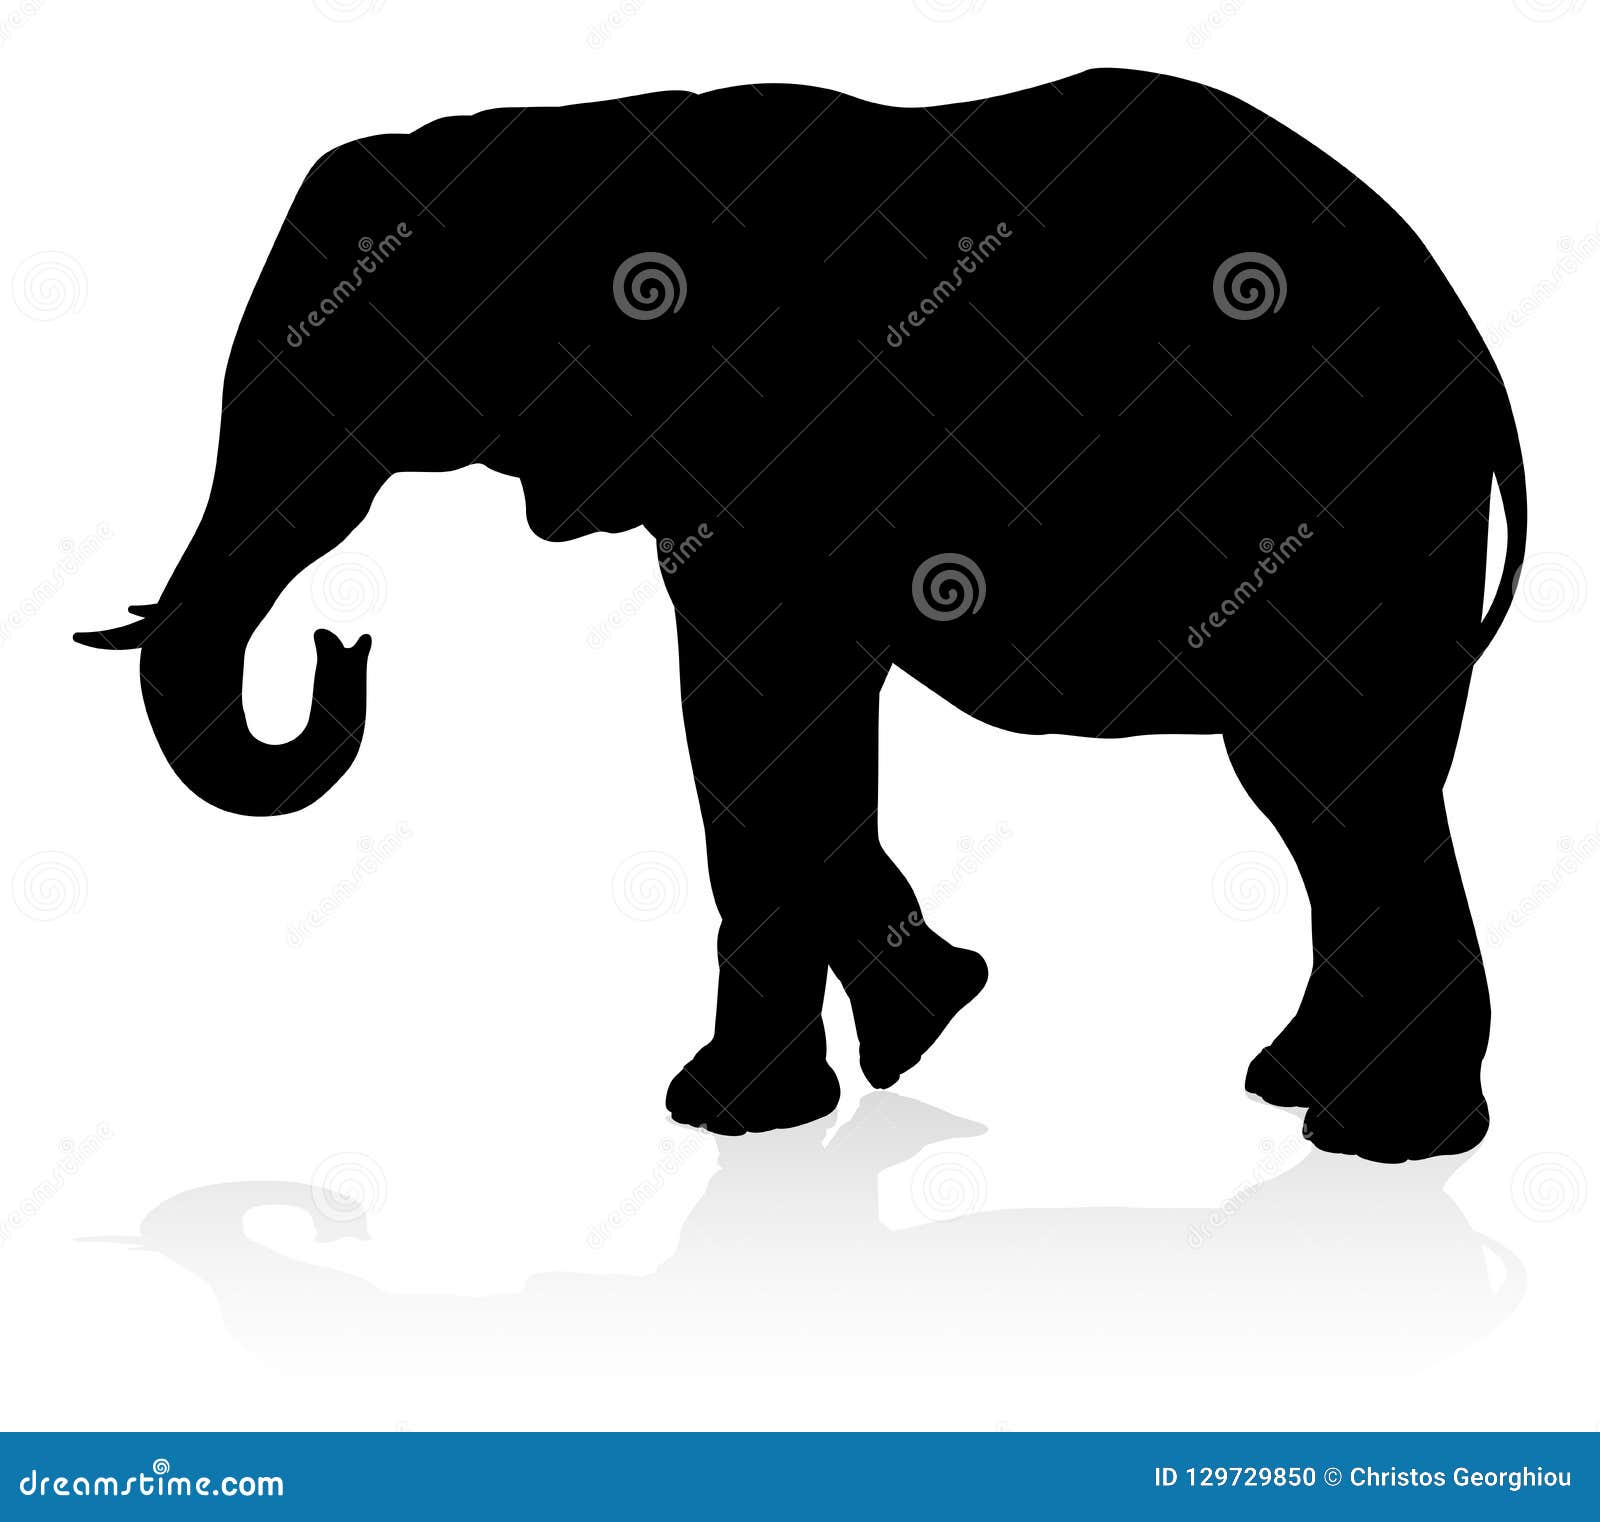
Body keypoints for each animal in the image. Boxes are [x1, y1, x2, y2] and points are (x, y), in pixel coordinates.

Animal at [78, 70, 1525, 1163]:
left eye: (352, 347)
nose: (343, 650)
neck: (571, 143)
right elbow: (790, 735)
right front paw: (920, 1020)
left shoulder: (773, 449)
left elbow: (754, 712)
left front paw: (747, 1107)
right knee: (1336, 802)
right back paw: (1299, 1087)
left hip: (1348, 510)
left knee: (1340, 779)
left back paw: (1384, 1140)